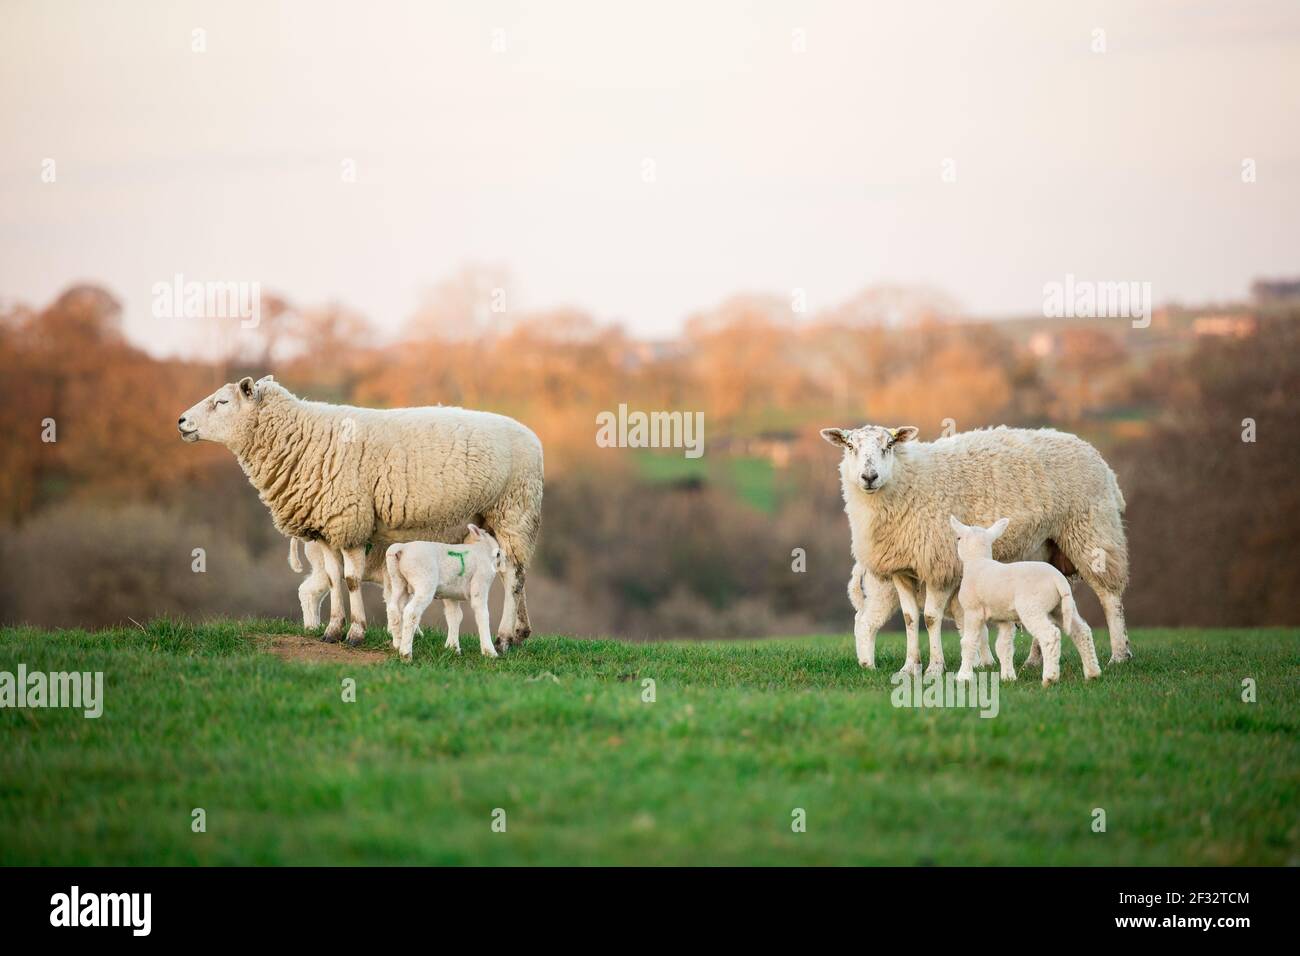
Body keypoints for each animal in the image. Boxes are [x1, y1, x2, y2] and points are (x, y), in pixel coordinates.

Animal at [383, 525, 506, 661]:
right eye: (498, 553)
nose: (504, 562)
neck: (481, 551)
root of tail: (402, 548)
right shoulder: (480, 584)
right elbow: (482, 615)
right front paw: (489, 652)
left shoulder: (450, 593)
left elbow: (455, 616)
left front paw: (453, 648)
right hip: (424, 583)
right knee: (411, 612)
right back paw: (405, 653)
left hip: (399, 581)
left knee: (394, 608)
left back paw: (397, 643)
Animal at [949, 516, 1102, 686]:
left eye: (958, 538)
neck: (978, 561)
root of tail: (1058, 579)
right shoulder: (1004, 619)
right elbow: (1003, 646)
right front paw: (1008, 677)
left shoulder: (972, 611)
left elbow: (968, 642)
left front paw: (963, 677)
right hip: (1062, 606)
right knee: (1081, 631)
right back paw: (1092, 673)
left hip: (1032, 608)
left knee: (1050, 635)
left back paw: (1050, 677)